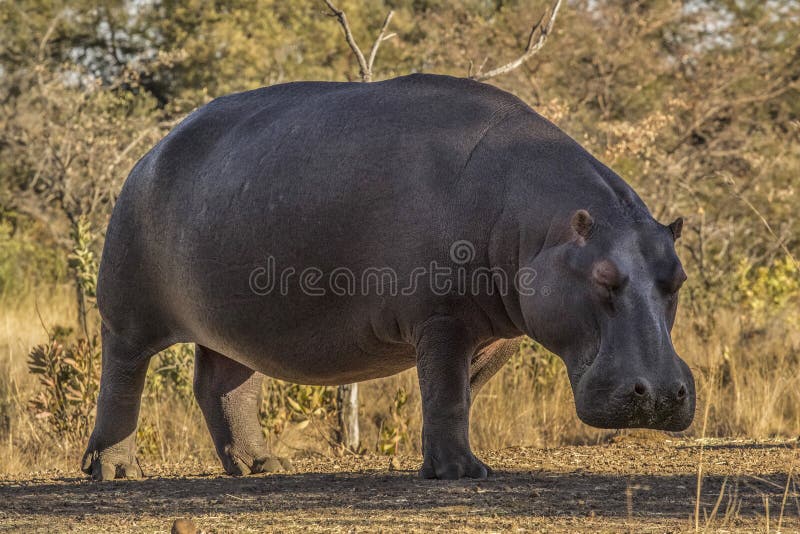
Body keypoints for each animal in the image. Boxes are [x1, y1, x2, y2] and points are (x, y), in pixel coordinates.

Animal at [82, 73, 694, 481]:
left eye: (678, 279)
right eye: (604, 278)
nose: (662, 395)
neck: (541, 224)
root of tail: (150, 152)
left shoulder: (499, 333)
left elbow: (456, 395)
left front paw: (444, 463)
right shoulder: (442, 318)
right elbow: (445, 391)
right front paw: (462, 474)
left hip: (235, 324)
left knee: (223, 386)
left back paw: (264, 466)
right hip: (128, 316)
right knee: (122, 380)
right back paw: (114, 472)